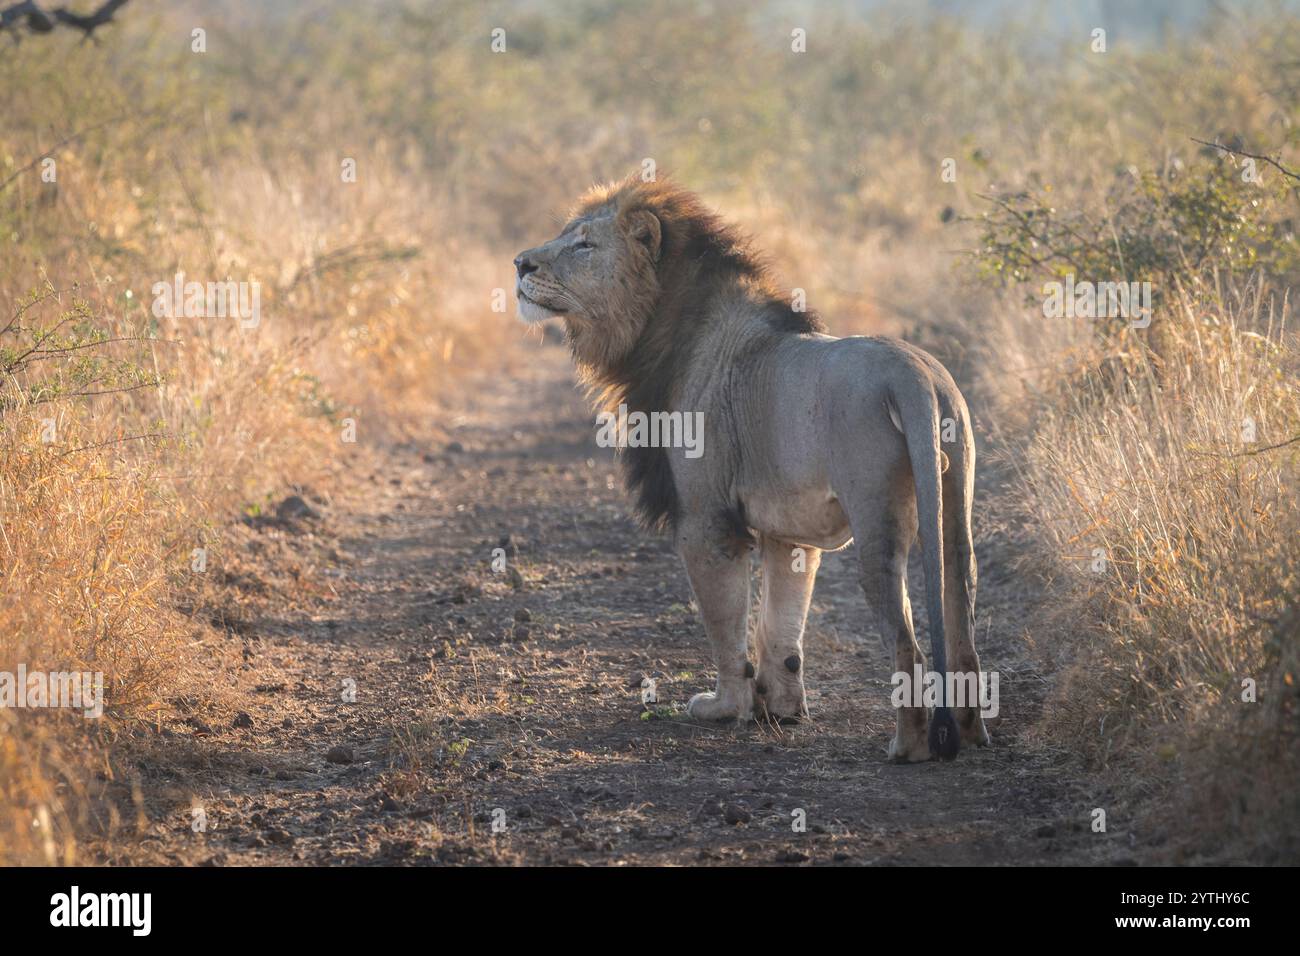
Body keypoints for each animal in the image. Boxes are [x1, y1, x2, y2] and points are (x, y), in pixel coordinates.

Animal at [515, 175, 990, 761]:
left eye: (584, 244)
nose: (519, 264)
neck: (660, 328)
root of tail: (915, 376)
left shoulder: (706, 519)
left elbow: (726, 623)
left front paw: (726, 707)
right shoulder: (789, 530)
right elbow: (782, 624)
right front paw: (782, 709)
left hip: (877, 523)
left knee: (909, 647)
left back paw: (907, 747)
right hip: (954, 501)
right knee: (962, 615)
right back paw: (973, 733)